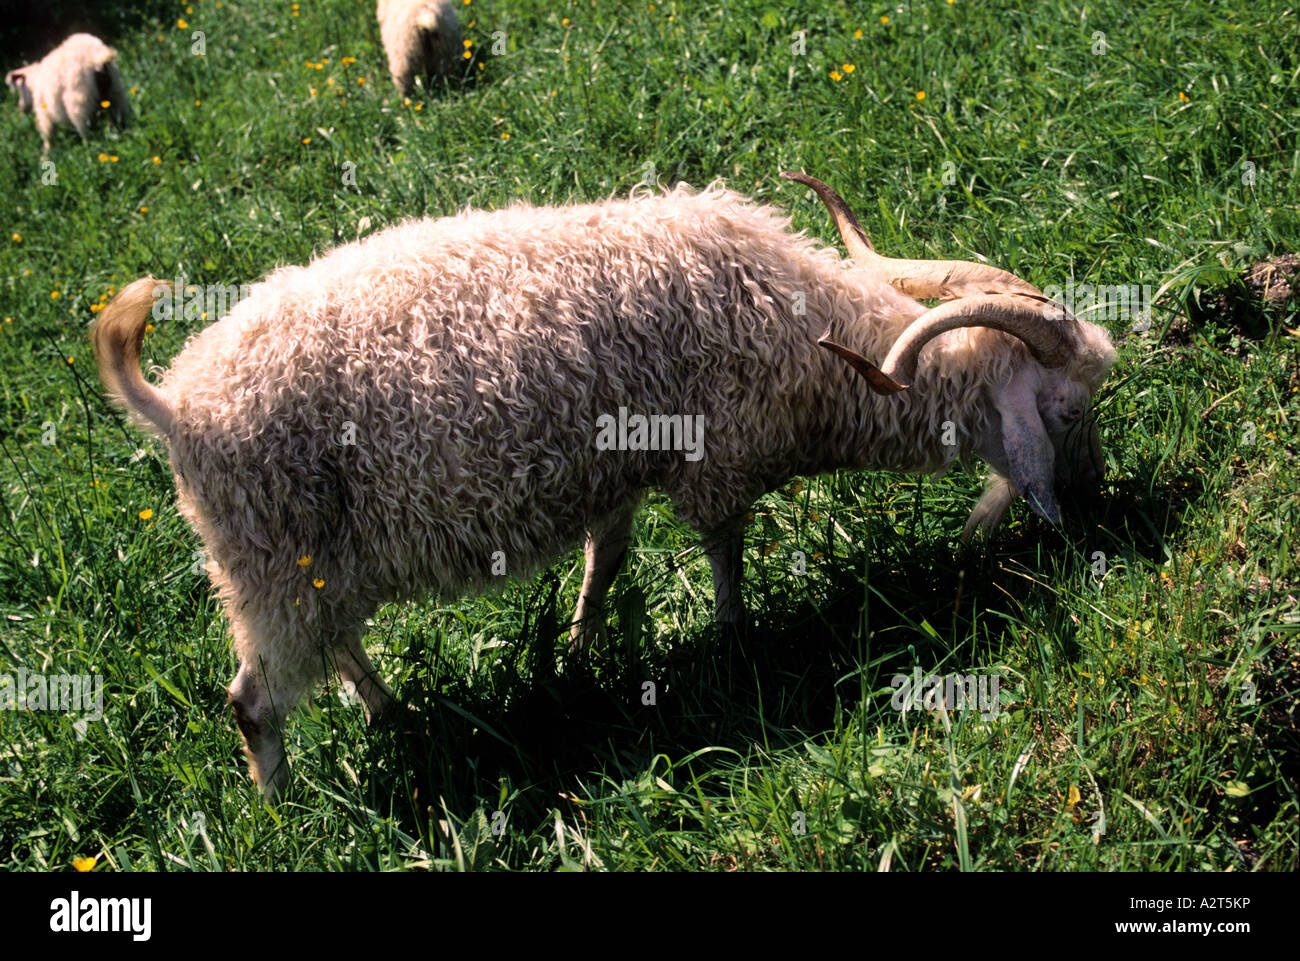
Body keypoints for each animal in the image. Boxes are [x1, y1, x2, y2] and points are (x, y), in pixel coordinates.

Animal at [91, 174, 1117, 796]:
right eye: (1067, 411)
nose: (1096, 508)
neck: (809, 337)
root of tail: (176, 403)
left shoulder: (618, 469)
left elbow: (609, 558)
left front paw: (581, 650)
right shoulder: (717, 457)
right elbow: (725, 550)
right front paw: (735, 641)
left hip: (305, 563)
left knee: (332, 639)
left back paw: (388, 711)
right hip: (267, 558)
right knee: (253, 699)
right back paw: (281, 809)